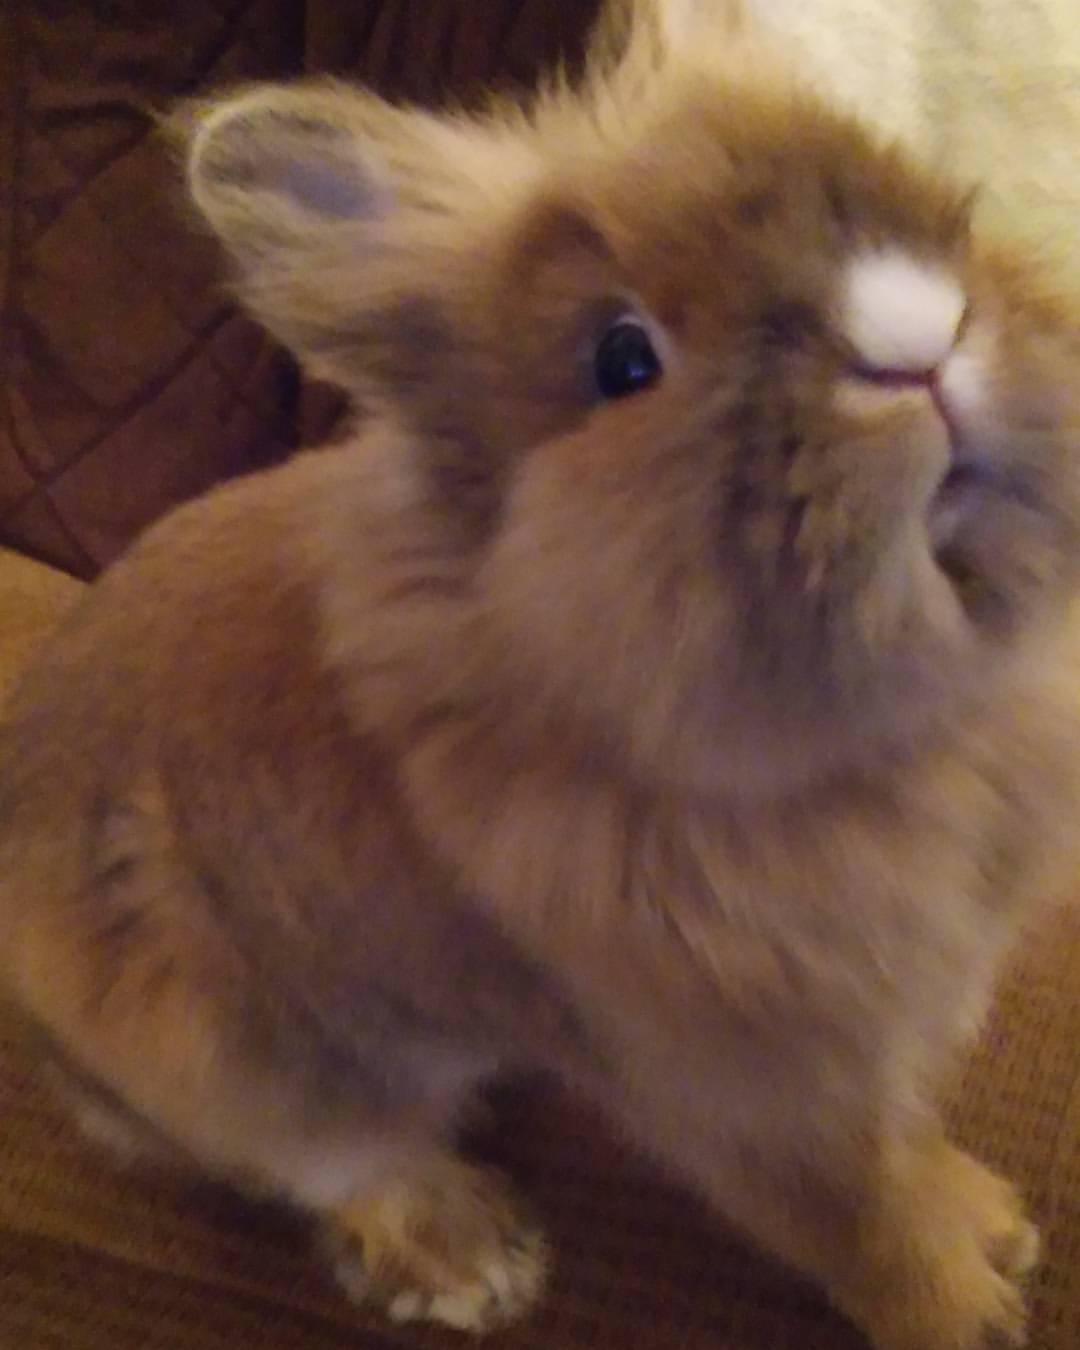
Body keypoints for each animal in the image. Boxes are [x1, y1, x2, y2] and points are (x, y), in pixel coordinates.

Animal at [3, 0, 1080, 1345]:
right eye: (624, 361)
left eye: (918, 201)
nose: (919, 334)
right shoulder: (755, 1091)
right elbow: (861, 1214)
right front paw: (966, 1307)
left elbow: (907, 1160)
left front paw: (995, 1229)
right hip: (226, 1054)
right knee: (340, 1165)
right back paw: (474, 1259)